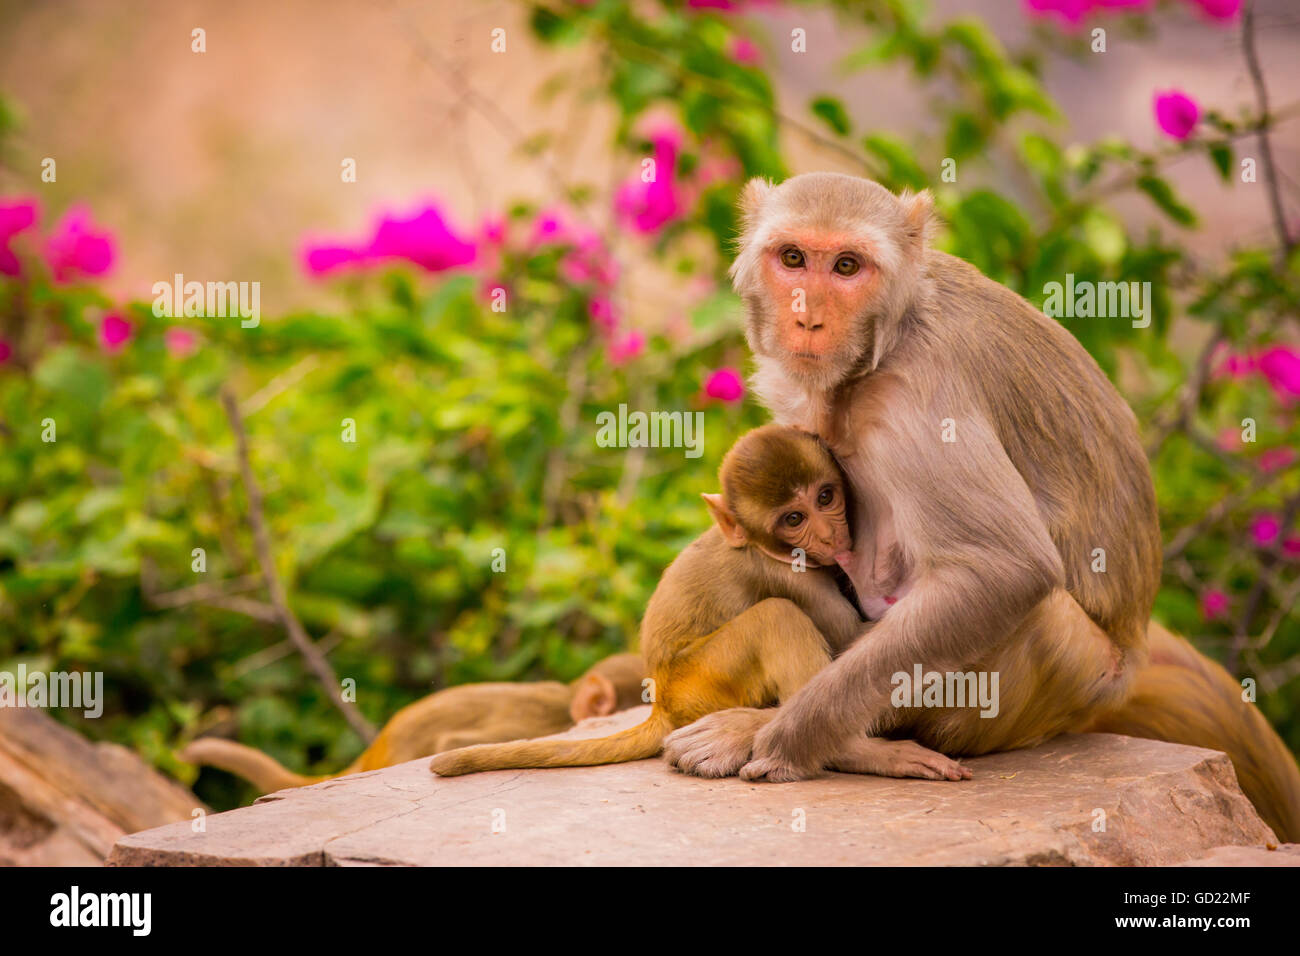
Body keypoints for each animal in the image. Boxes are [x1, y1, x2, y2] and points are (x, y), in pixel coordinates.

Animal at [430, 424, 971, 782]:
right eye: (793, 518)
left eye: (825, 496)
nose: (827, 534)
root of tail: (662, 702)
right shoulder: (785, 572)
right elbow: (850, 636)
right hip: (702, 680)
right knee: (776, 617)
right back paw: (853, 752)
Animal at [661, 173, 1300, 842]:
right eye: (792, 258)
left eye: (846, 266)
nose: (805, 316)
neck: (886, 342)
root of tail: (1129, 663)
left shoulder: (920, 398)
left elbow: (1006, 570)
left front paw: (786, 739)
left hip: (1054, 679)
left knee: (1030, 610)